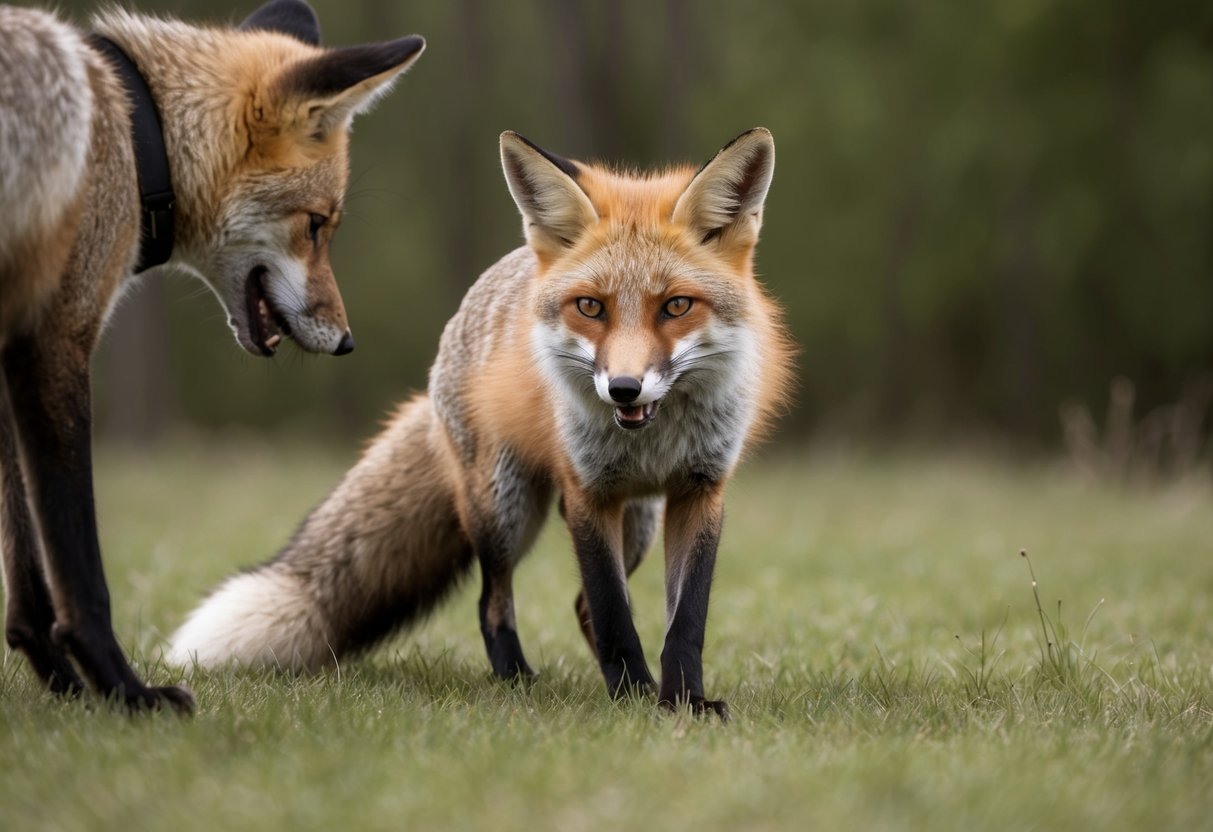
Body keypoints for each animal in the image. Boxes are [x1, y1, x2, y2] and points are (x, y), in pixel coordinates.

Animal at [0, 0, 424, 711]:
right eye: (317, 224)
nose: (346, 341)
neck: (137, 129)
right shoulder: (58, 337)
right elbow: (79, 566)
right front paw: (125, 693)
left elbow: (28, 577)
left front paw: (66, 686)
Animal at [170, 128, 793, 718]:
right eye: (591, 307)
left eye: (676, 306)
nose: (623, 387)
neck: (656, 440)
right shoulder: (588, 494)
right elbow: (615, 614)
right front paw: (638, 701)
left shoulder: (699, 490)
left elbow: (682, 623)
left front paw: (681, 701)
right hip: (504, 509)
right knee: (494, 602)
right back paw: (519, 680)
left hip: (636, 520)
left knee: (580, 606)